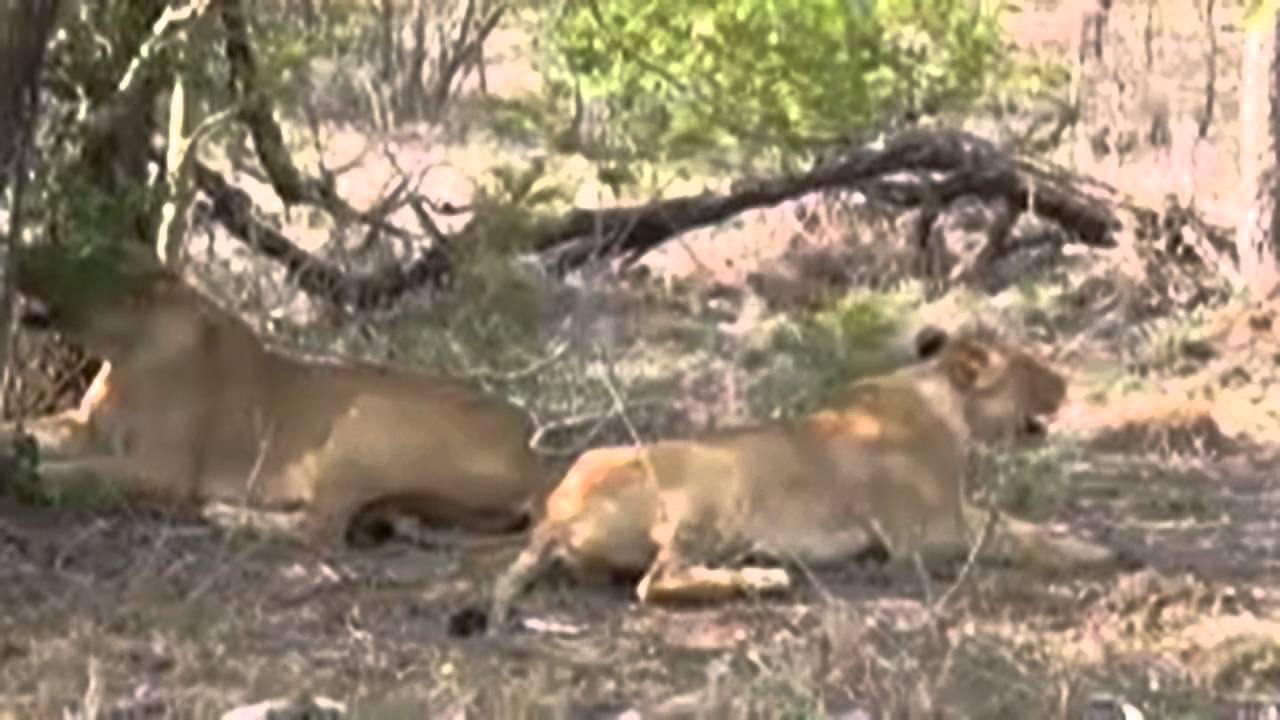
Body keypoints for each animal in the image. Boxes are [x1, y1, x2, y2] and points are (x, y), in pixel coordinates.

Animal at [3, 271, 547, 545]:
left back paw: (226, 514)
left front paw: (29, 475)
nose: (26, 271)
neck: (129, 352)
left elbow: (84, 471)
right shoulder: (85, 426)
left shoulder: (165, 470)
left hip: (362, 424)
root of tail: (529, 456)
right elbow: (32, 430)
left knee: (320, 529)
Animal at [490, 324, 1123, 623]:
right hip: (717, 475)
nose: (1067, 384)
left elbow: (1016, 521)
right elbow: (1010, 530)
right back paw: (763, 578)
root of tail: (556, 510)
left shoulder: (948, 513)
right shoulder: (922, 535)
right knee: (657, 581)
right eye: (1028, 367)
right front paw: (1093, 553)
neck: (946, 401)